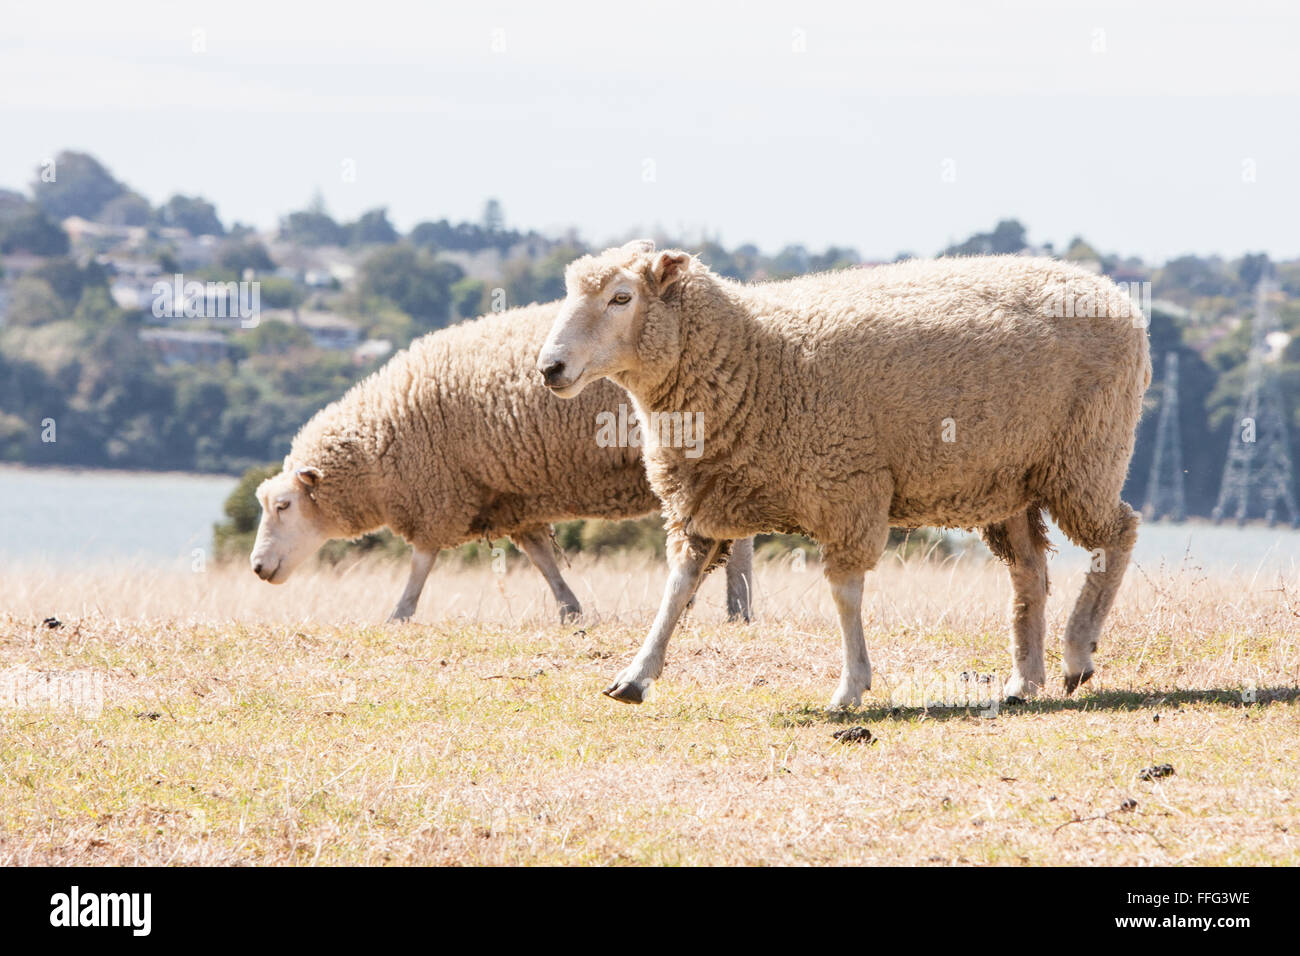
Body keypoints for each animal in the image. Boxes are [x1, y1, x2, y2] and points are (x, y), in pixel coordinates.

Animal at [249, 301, 754, 623]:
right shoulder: (511, 497)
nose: (256, 568)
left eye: (284, 506)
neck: (381, 439)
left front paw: (399, 613)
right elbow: (540, 556)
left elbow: (421, 561)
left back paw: (738, 608)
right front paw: (569, 610)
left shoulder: (437, 489)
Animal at [537, 241, 1150, 705]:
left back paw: (1077, 652)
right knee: (1029, 573)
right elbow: (677, 588)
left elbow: (844, 594)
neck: (755, 358)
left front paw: (851, 686)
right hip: (1007, 479)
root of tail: (1114, 295)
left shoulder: (847, 488)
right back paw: (1024, 681)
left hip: (1085, 453)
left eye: (622, 297)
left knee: (1118, 534)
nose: (549, 368)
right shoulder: (705, 500)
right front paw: (635, 675)